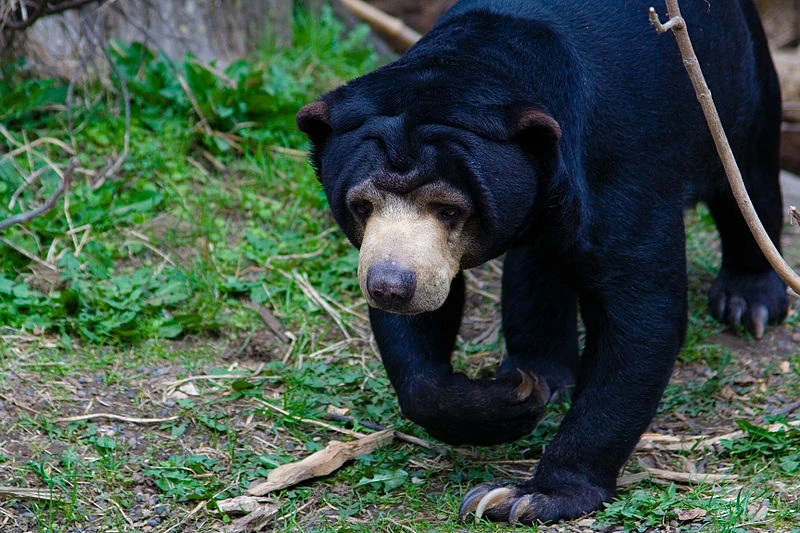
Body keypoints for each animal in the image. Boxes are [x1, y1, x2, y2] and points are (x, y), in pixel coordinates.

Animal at [296, 0, 789, 524]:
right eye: (361, 205)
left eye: (449, 209)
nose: (391, 284)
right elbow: (420, 349)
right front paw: (512, 398)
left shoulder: (616, 175)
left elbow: (640, 318)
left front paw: (527, 495)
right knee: (538, 266)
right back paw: (541, 371)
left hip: (736, 83)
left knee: (748, 177)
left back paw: (749, 300)